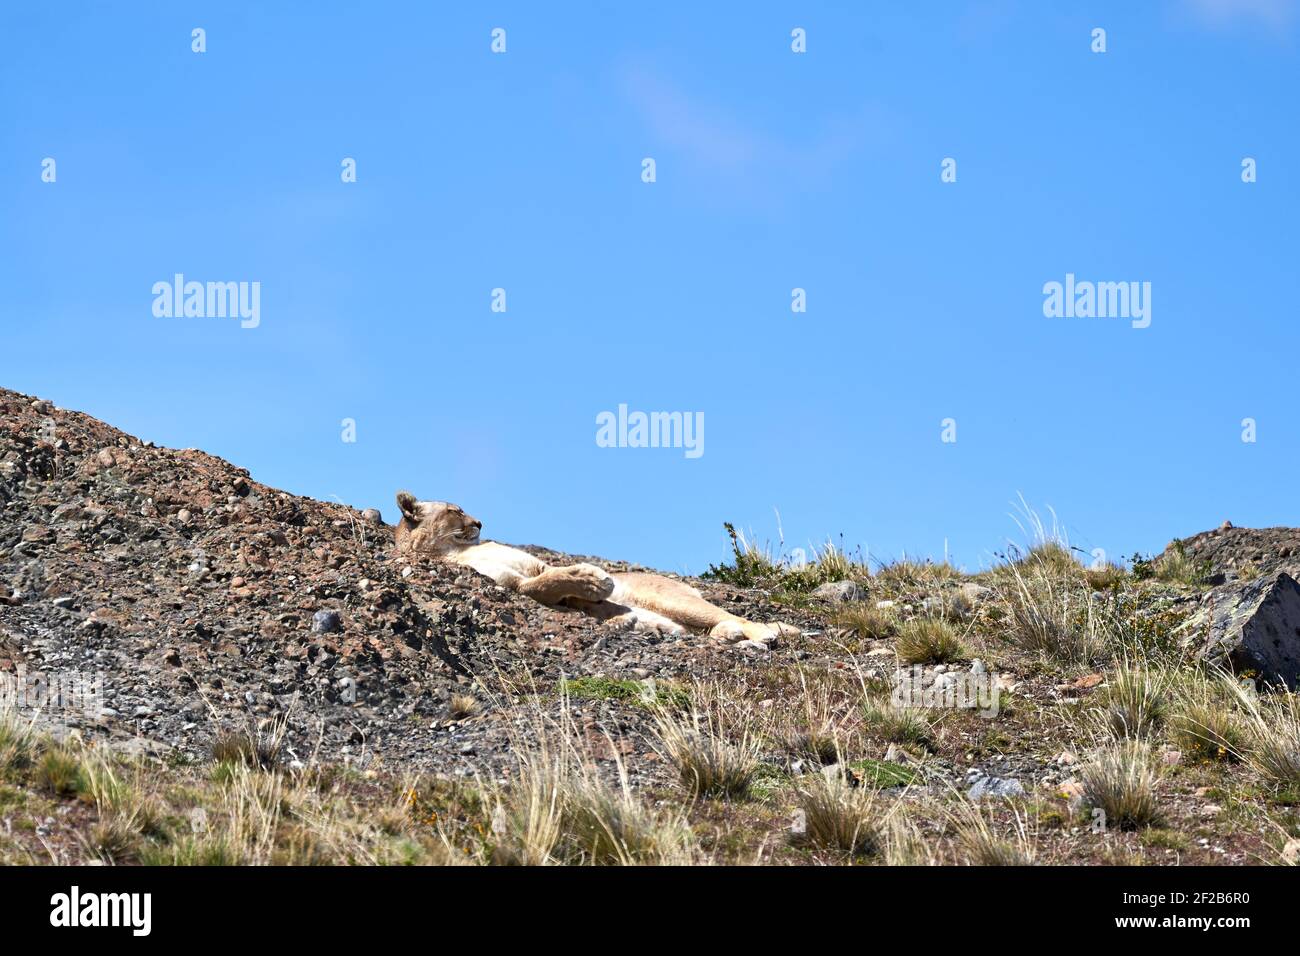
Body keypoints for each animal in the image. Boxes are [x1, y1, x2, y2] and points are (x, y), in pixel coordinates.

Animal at [393, 492, 798, 650]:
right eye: (454, 510)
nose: (479, 522)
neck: (456, 552)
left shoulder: (534, 565)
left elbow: (555, 574)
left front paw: (598, 585)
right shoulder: (514, 584)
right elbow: (541, 588)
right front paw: (613, 611)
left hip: (673, 599)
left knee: (738, 616)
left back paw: (759, 633)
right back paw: (728, 637)